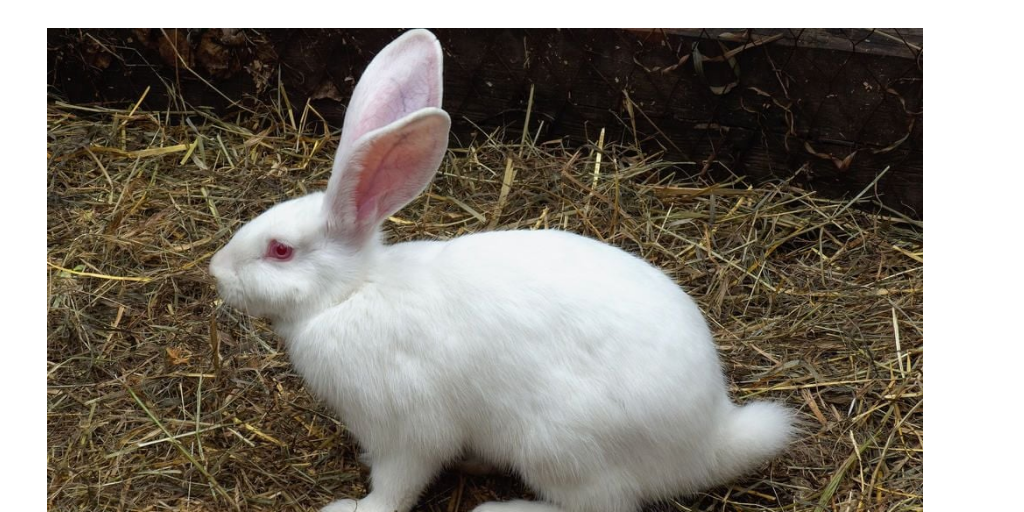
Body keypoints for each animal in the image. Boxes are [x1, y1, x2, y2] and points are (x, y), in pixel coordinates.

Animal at [209, 29, 794, 512]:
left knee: (601, 505)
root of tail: (709, 441)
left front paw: (354, 509)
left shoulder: (407, 431)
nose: (216, 272)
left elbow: (398, 485)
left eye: (280, 250)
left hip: (558, 450)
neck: (352, 293)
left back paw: (501, 508)